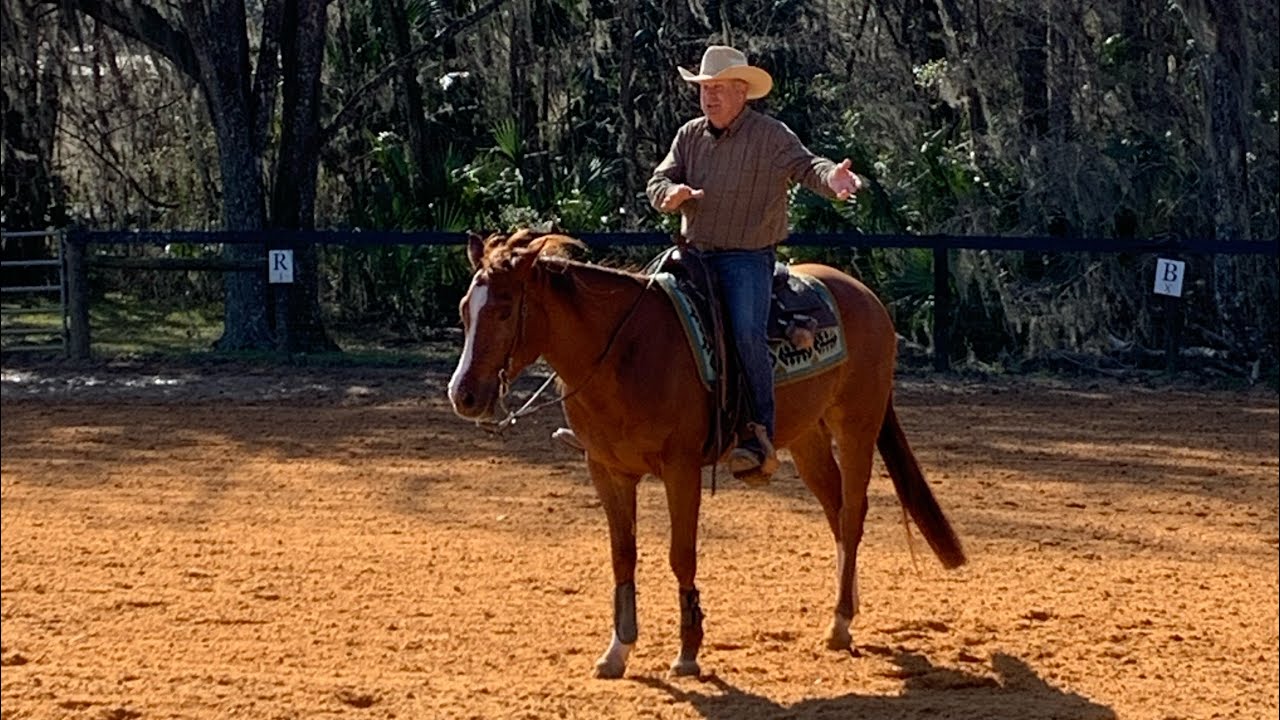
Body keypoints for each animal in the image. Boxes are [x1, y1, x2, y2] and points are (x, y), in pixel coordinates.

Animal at [447, 229, 966, 679]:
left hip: (856, 424)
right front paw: (617, 651)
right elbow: (622, 556)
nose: (463, 395)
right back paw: (847, 608)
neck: (623, 352)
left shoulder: (682, 469)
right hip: (807, 437)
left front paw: (688, 651)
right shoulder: (607, 471)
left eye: (504, 311)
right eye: (464, 311)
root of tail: (866, 296)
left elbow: (682, 555)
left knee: (853, 514)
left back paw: (839, 623)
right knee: (836, 513)